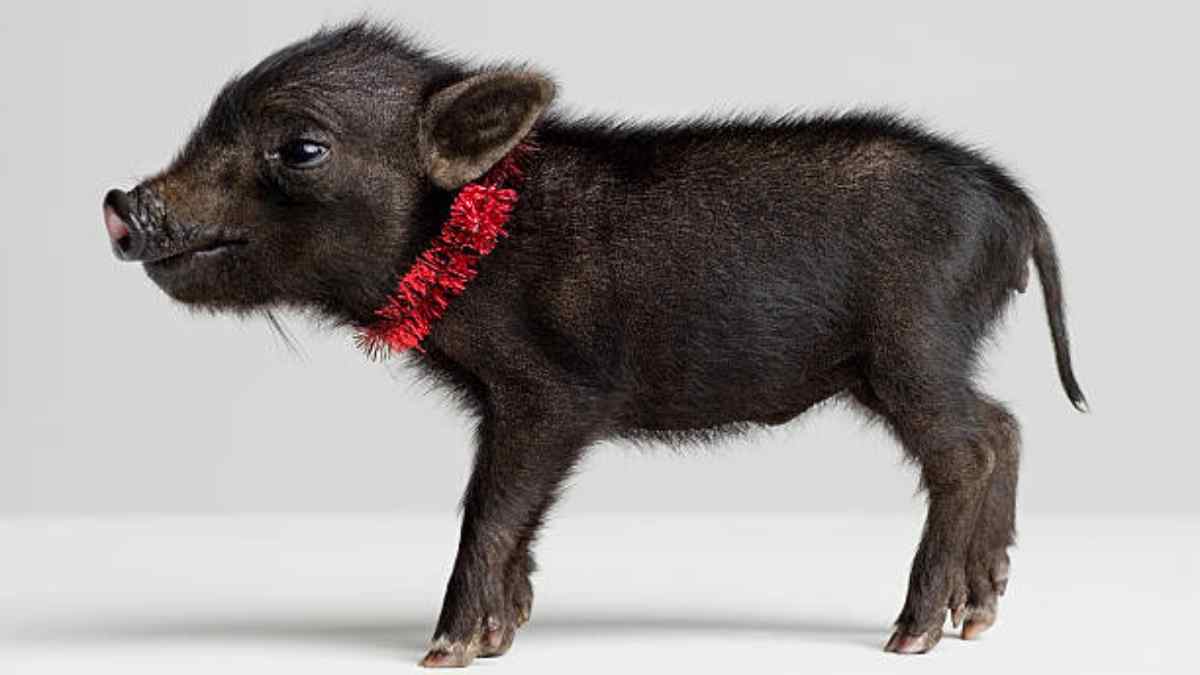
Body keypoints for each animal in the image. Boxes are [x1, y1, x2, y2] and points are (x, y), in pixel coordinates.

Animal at [102, 21, 1086, 668]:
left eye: (301, 149)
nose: (120, 203)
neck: (472, 231)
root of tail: (1015, 203)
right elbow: (514, 512)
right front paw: (508, 630)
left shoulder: (552, 395)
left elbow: (491, 504)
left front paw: (446, 649)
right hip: (908, 362)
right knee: (1005, 425)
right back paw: (977, 615)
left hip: (914, 343)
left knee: (967, 448)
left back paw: (911, 634)